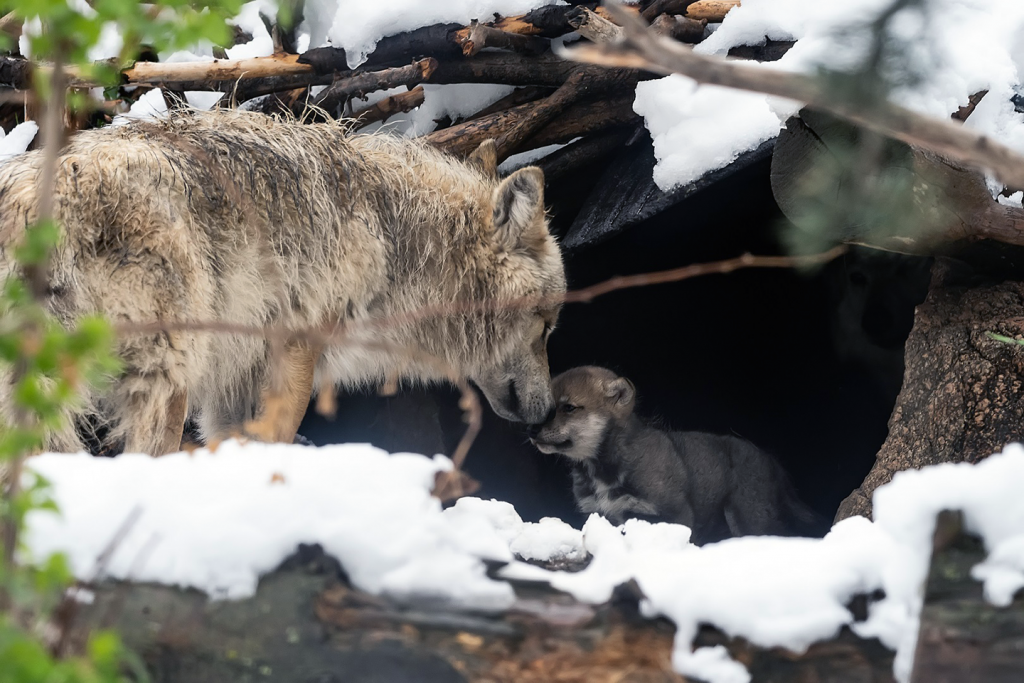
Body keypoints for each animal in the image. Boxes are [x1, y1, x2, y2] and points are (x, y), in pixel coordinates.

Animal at [0, 110, 565, 455]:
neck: (394, 232)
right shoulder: (295, 352)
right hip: (165, 382)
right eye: (546, 325)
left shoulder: (231, 383)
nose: (549, 413)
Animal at [529, 366, 823, 544]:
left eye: (568, 407)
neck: (602, 471)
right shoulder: (601, 514)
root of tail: (774, 462)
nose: (531, 429)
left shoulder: (674, 513)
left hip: (748, 517)